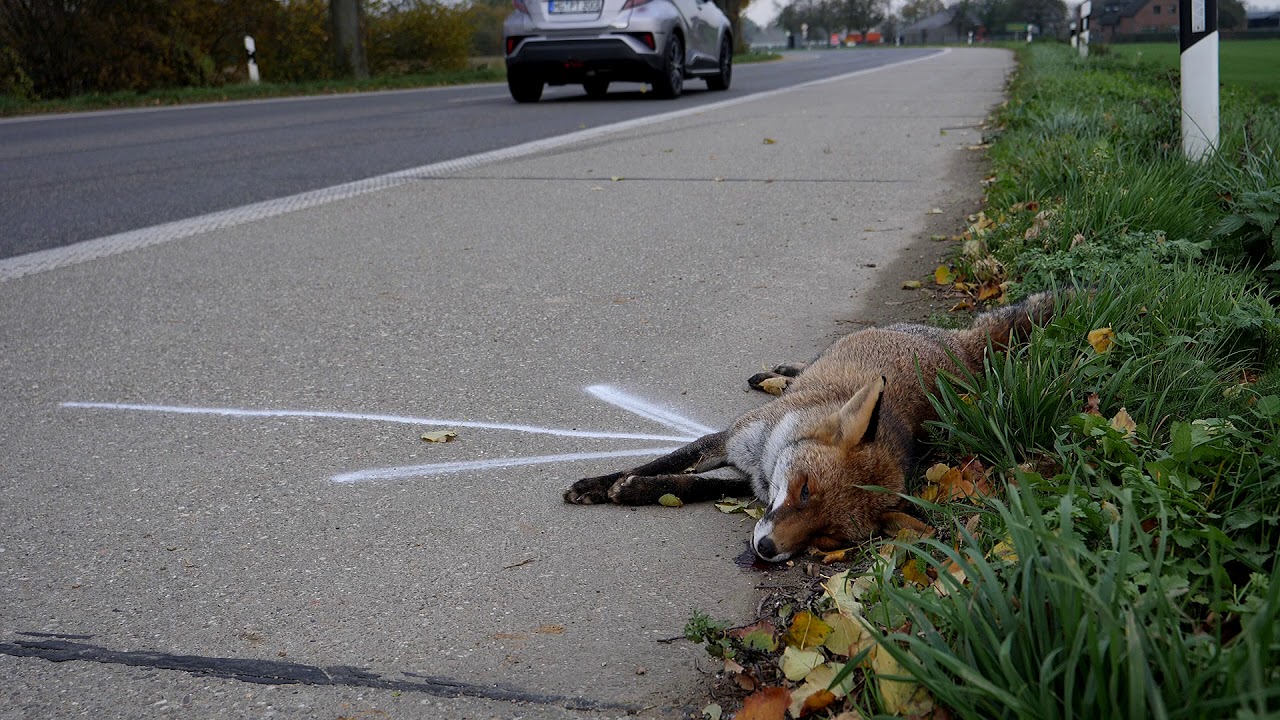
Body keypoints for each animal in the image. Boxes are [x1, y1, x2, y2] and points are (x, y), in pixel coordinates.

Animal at [564, 292, 1058, 562]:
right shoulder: (731, 440)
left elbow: (691, 486)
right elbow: (667, 461)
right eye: (803, 491)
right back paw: (778, 374)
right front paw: (601, 484)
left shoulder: (753, 483)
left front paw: (634, 491)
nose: (767, 550)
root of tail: (960, 347)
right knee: (806, 365)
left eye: (827, 536)